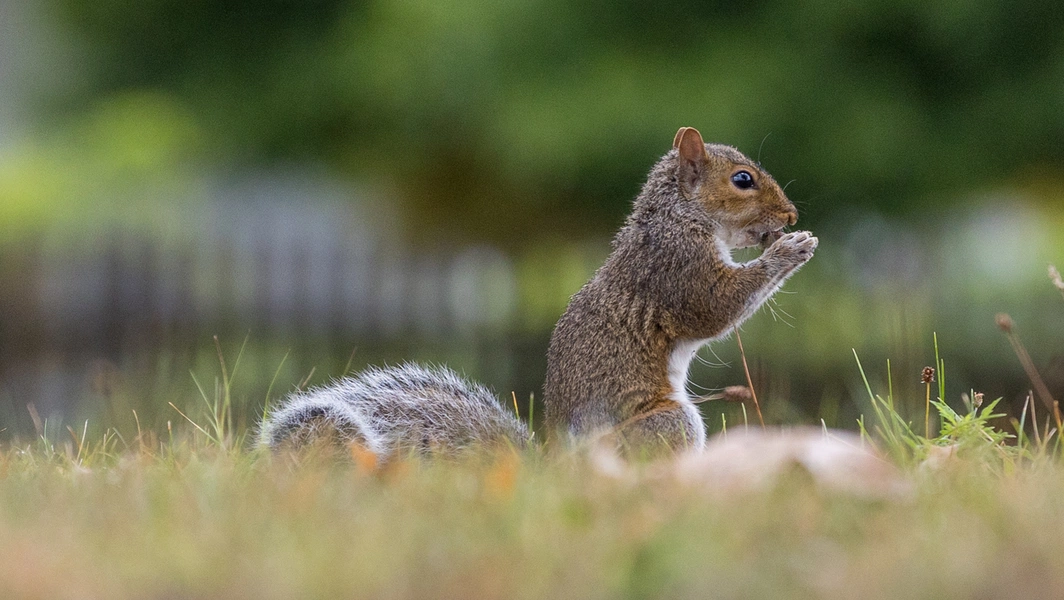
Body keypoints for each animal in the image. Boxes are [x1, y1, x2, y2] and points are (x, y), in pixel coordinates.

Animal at [258, 127, 816, 461]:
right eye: (742, 180)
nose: (790, 216)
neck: (678, 217)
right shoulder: (675, 269)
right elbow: (714, 309)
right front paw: (789, 252)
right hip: (667, 424)